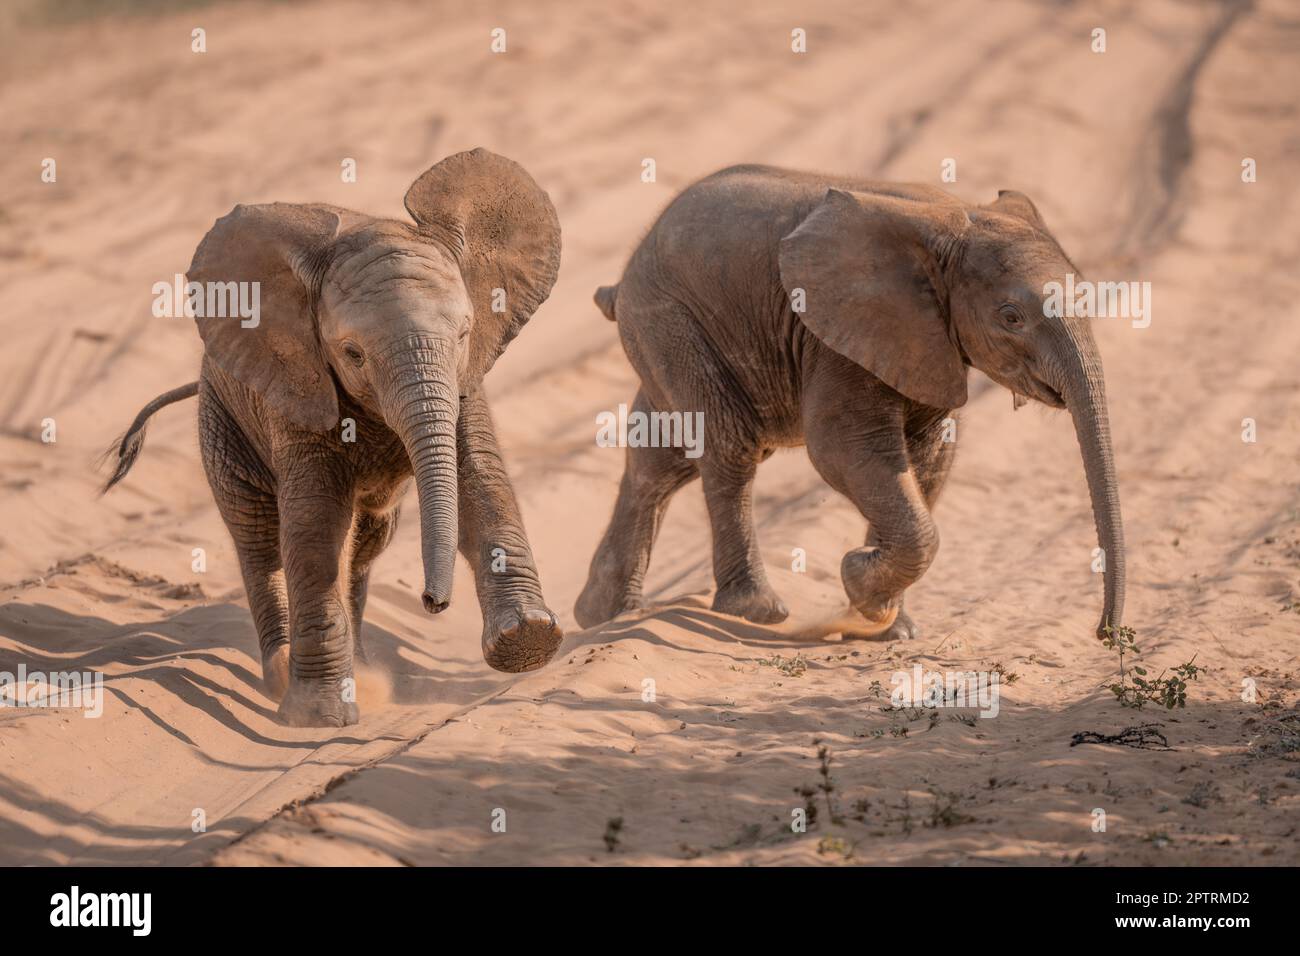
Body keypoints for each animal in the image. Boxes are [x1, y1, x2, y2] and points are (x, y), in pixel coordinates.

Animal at [104, 148, 565, 727]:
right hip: (223, 420)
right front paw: (318, 716)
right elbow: (315, 528)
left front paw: (528, 643)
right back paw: (281, 674)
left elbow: (481, 482)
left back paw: (360, 668)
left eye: (463, 334)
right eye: (352, 354)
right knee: (259, 541)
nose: (433, 604)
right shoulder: (294, 383)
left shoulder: (466, 380)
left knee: (366, 544)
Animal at [576, 164, 1125, 644]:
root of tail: (626, 274)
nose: (1106, 634)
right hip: (668, 319)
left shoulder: (924, 337)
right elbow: (846, 449)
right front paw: (859, 580)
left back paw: (606, 616)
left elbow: (925, 461)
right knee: (729, 446)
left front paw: (887, 625)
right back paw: (755, 611)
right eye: (1011, 317)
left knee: (661, 459)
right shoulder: (837, 334)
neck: (955, 218)